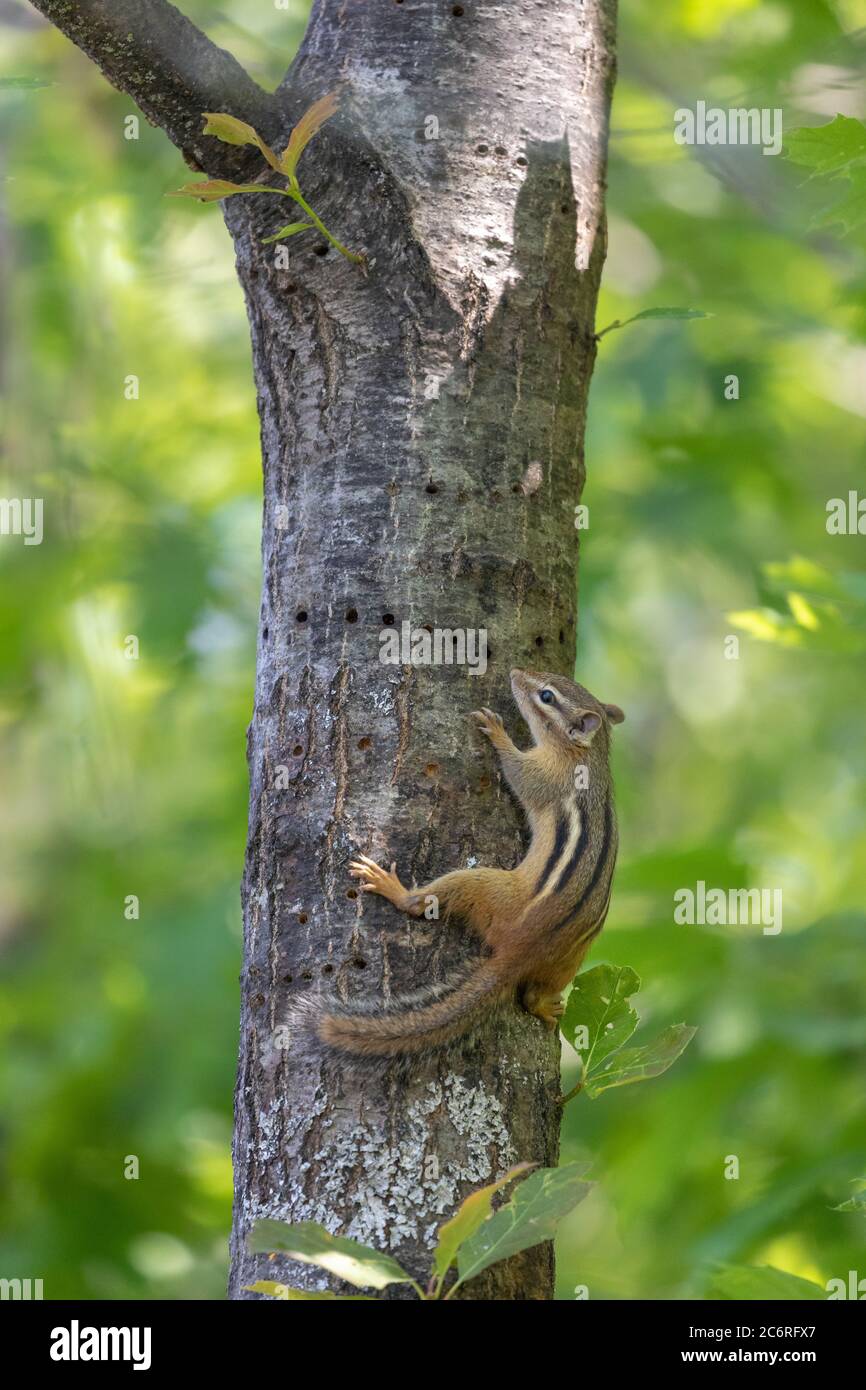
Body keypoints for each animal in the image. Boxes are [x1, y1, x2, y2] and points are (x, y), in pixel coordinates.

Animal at [290, 668, 624, 1066]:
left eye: (546, 696)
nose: (515, 672)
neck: (589, 755)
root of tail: (518, 948)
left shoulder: (544, 777)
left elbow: (516, 771)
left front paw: (496, 731)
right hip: (569, 961)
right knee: (532, 997)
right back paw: (546, 1007)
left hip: (483, 883)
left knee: (421, 904)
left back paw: (391, 887)